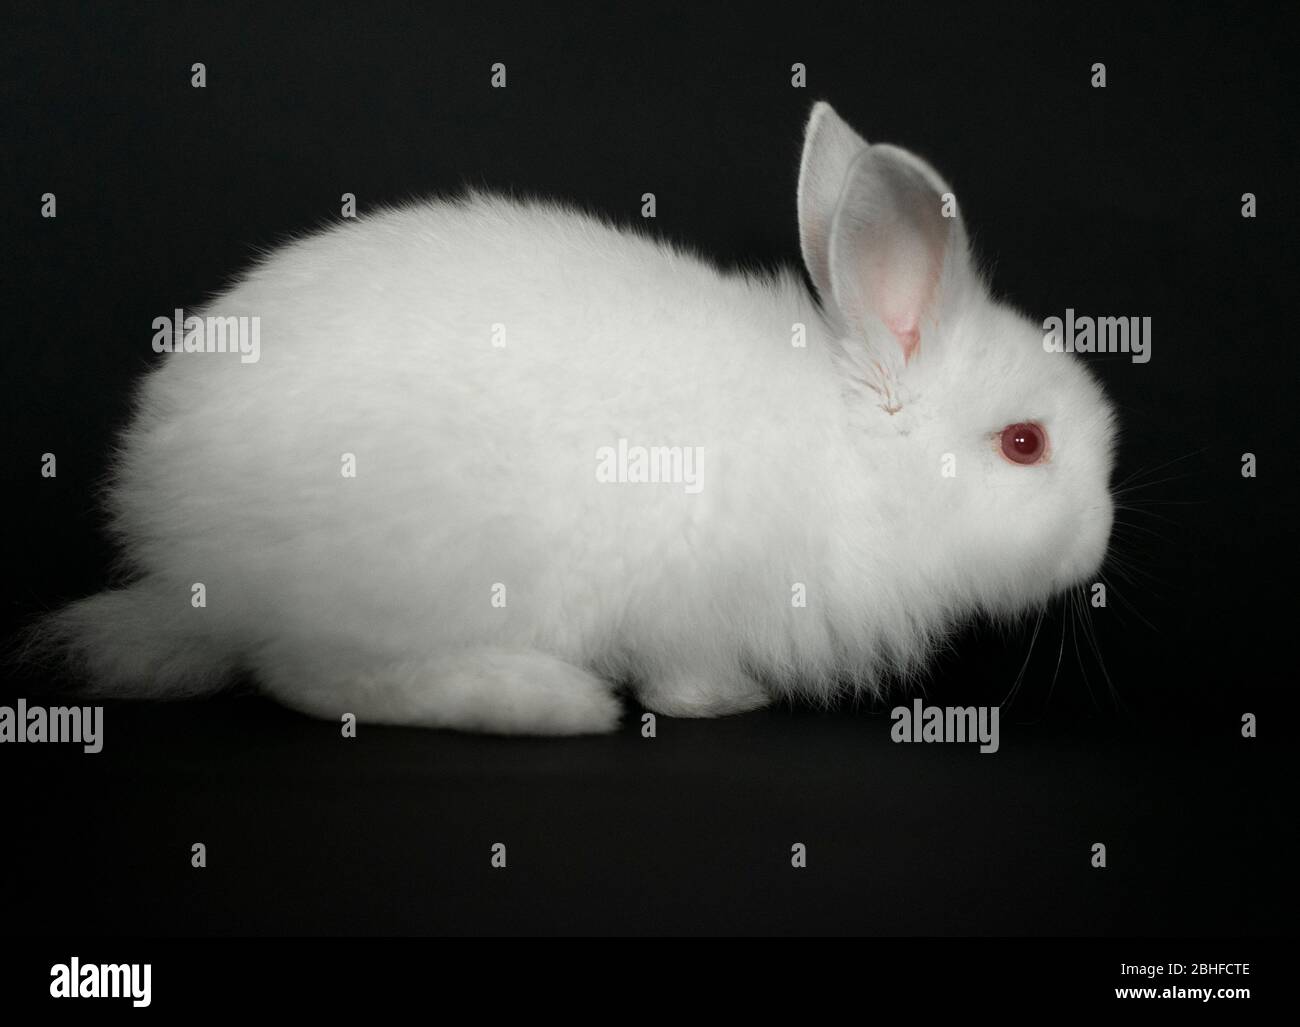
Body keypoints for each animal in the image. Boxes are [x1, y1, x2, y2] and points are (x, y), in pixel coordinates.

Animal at [31, 101, 1117, 735]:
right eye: (1025, 444)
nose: (1099, 541)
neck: (854, 457)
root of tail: (184, 558)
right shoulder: (694, 602)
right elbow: (685, 675)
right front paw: (727, 703)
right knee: (306, 674)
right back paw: (545, 701)